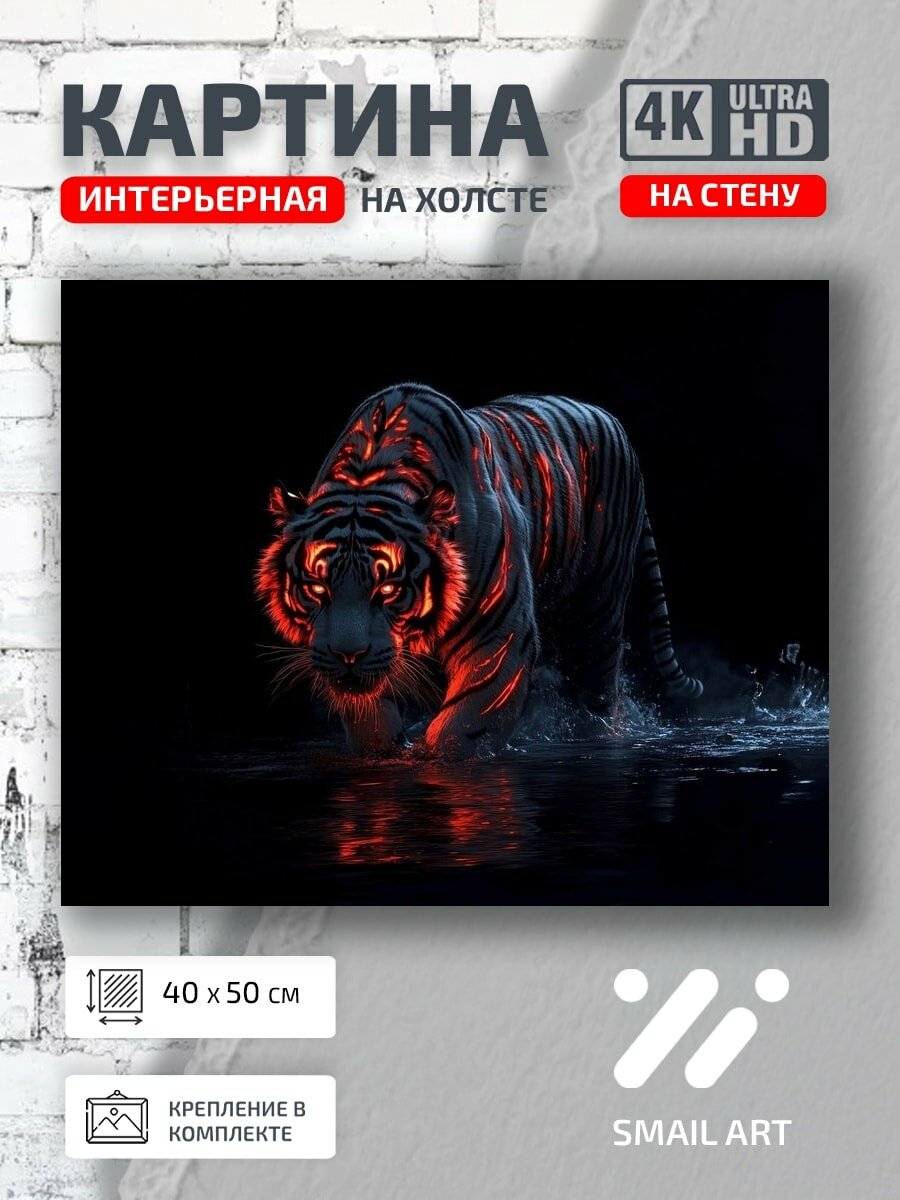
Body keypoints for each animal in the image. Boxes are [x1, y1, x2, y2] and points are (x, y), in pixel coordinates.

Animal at [257, 383, 702, 758]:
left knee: (597, 689)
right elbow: (370, 718)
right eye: (317, 588)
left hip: (599, 608)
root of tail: (612, 421)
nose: (348, 655)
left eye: (387, 590)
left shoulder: (498, 634)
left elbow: (467, 724)